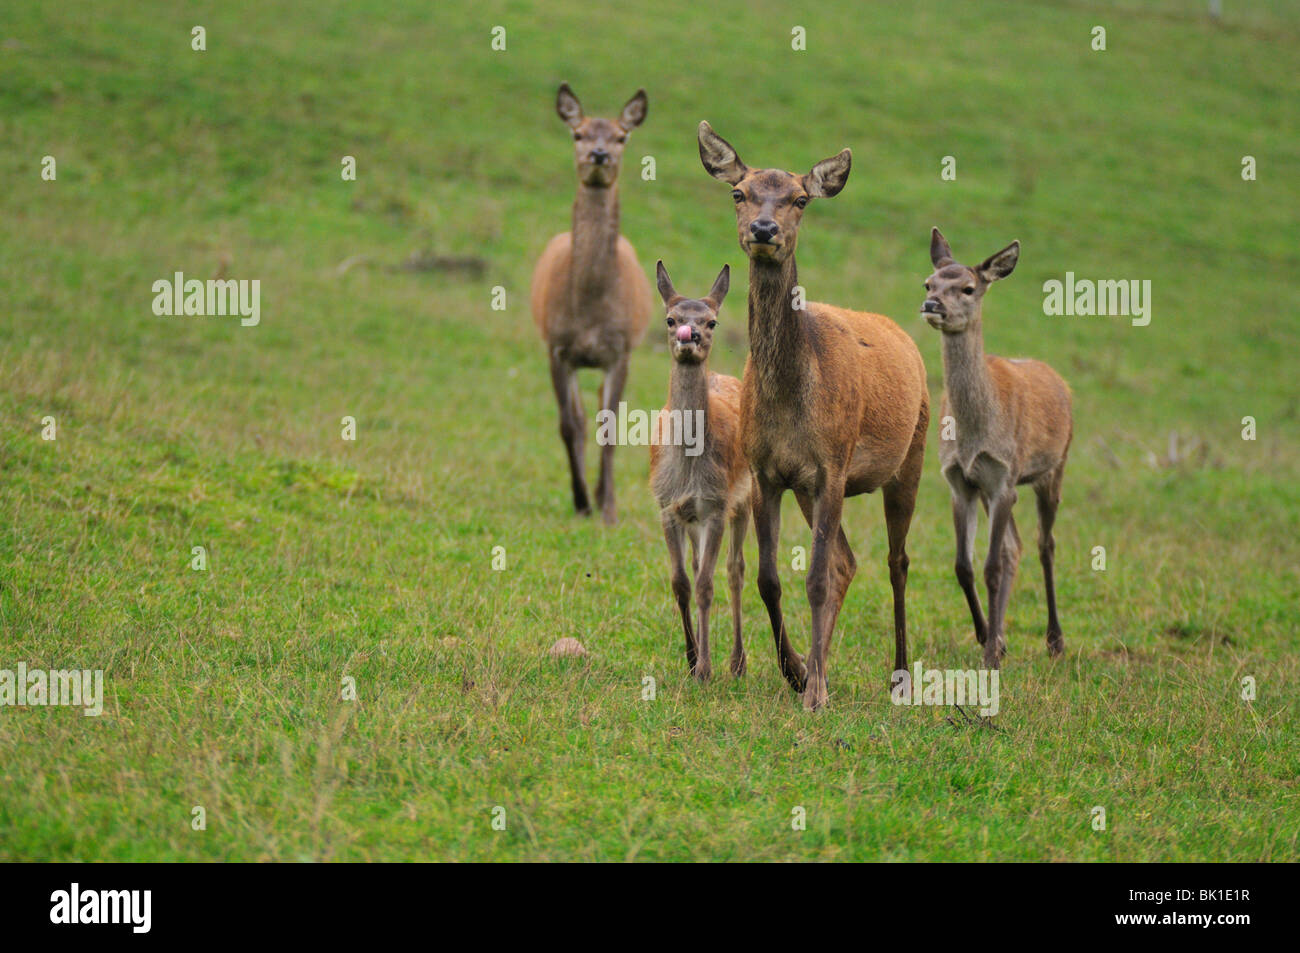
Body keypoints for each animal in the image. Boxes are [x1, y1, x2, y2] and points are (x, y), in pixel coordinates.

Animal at [530, 84, 652, 524]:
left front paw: (609, 508)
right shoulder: (557, 347)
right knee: (583, 418)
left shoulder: (620, 350)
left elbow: (612, 428)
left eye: (621, 136)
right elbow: (569, 425)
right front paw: (581, 500)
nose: (599, 155)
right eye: (577, 133)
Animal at [697, 122, 930, 711]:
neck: (790, 400)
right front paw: (799, 672)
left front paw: (815, 692)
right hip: (809, 488)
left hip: (911, 456)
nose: (764, 229)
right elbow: (770, 580)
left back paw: (899, 675)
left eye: (800, 199)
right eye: (740, 193)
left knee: (896, 562)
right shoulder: (768, 473)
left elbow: (817, 580)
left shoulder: (833, 466)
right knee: (848, 561)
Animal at [922, 228, 1073, 669]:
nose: (932, 305)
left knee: (1044, 545)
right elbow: (964, 566)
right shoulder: (961, 481)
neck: (976, 435)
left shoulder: (1004, 476)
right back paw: (1003, 635)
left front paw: (990, 654)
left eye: (969, 288)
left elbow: (990, 567)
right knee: (1014, 548)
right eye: (929, 283)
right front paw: (987, 635)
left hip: (1053, 468)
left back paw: (1055, 640)